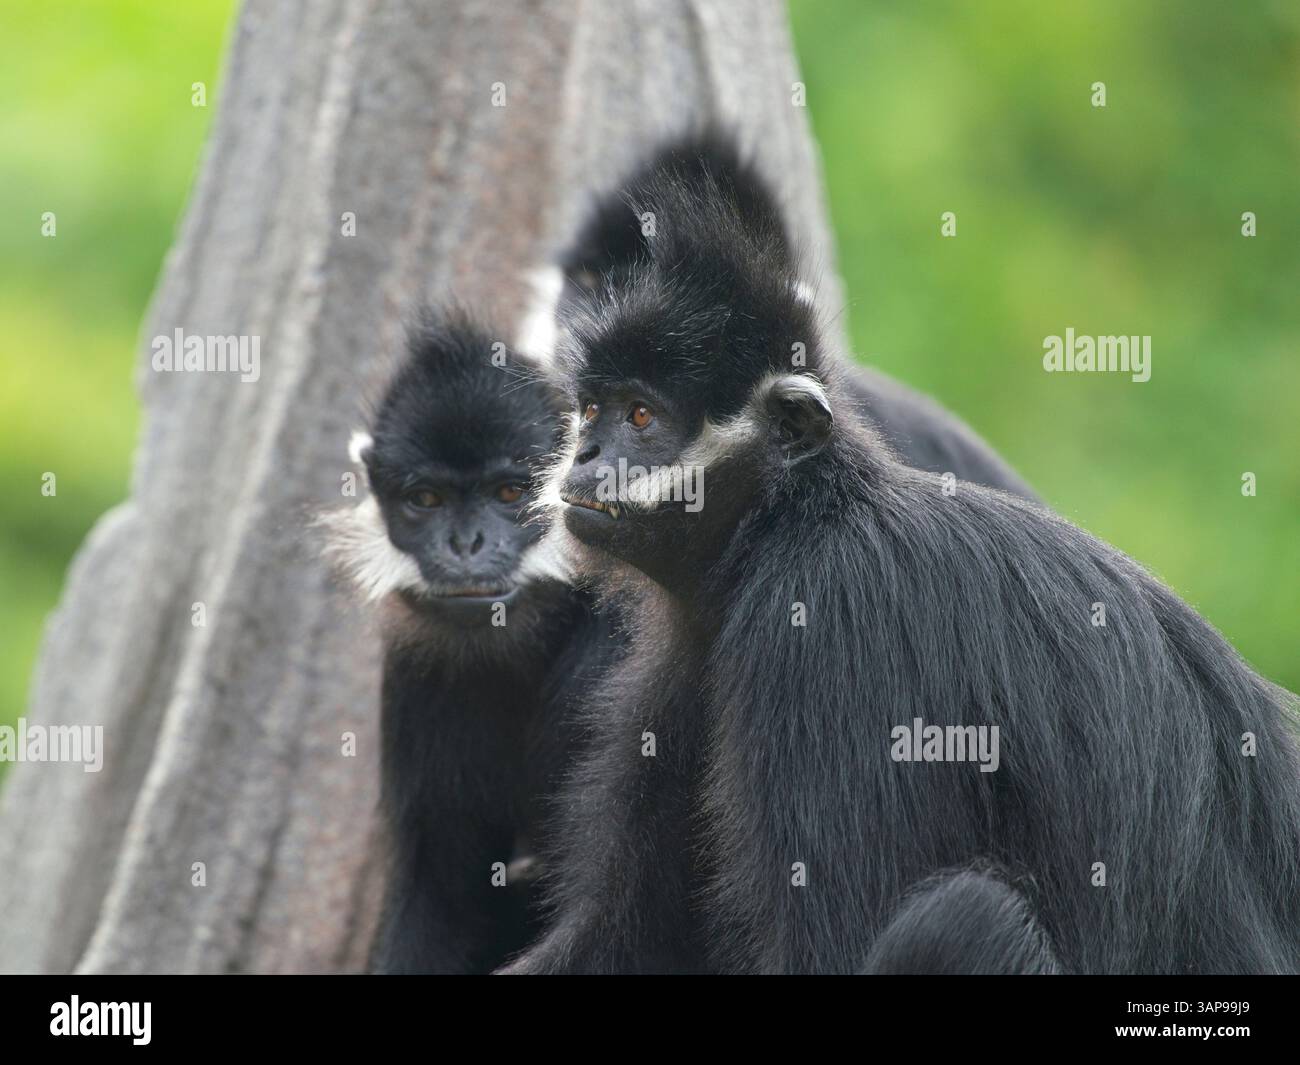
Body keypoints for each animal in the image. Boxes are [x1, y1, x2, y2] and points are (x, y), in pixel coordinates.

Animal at [499, 146, 1300, 974]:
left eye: (641, 417)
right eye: (593, 412)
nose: (587, 455)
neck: (785, 523)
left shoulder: (827, 627)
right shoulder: (691, 654)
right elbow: (624, 937)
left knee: (964, 915)